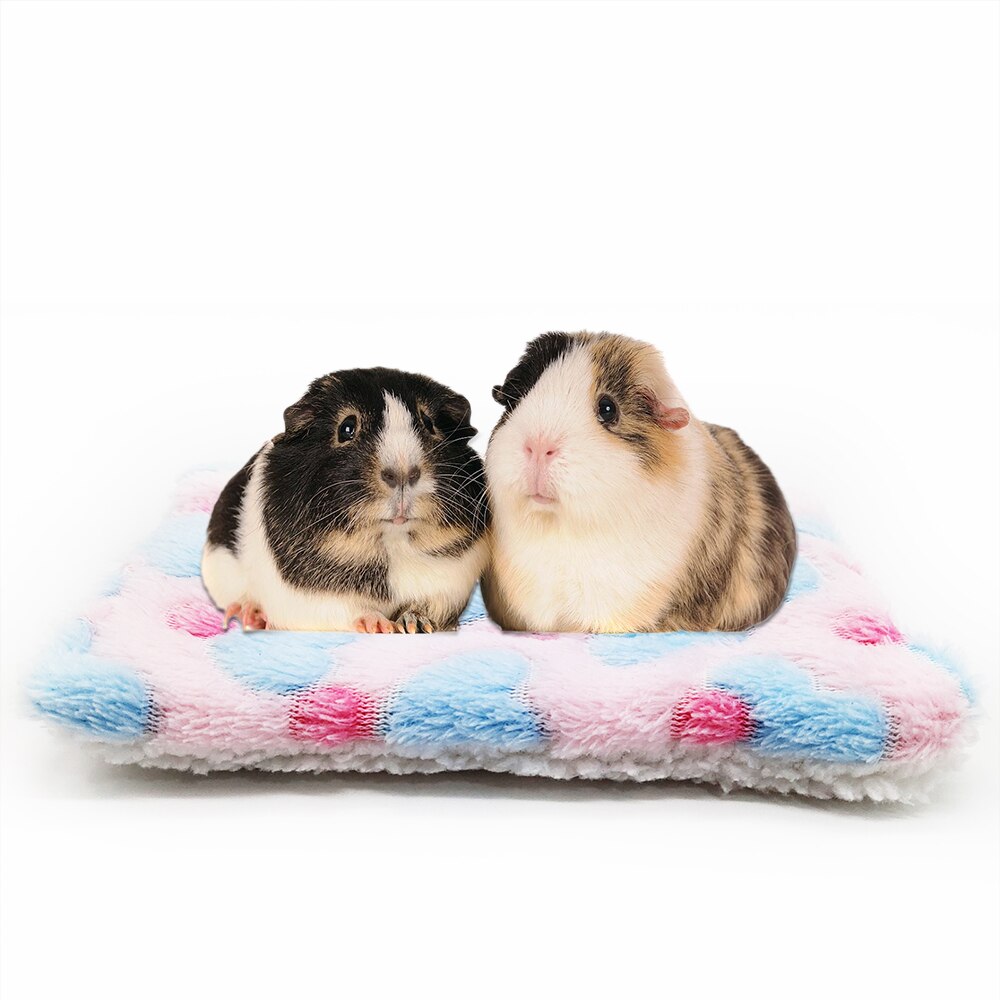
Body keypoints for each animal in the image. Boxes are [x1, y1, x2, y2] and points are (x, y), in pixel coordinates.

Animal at [202, 368, 489, 633]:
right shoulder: (314, 601)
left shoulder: (451, 582)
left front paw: (414, 624)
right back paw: (251, 616)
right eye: (347, 428)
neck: (391, 542)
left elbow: (430, 606)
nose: (403, 473)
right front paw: (381, 625)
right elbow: (353, 611)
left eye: (429, 423)